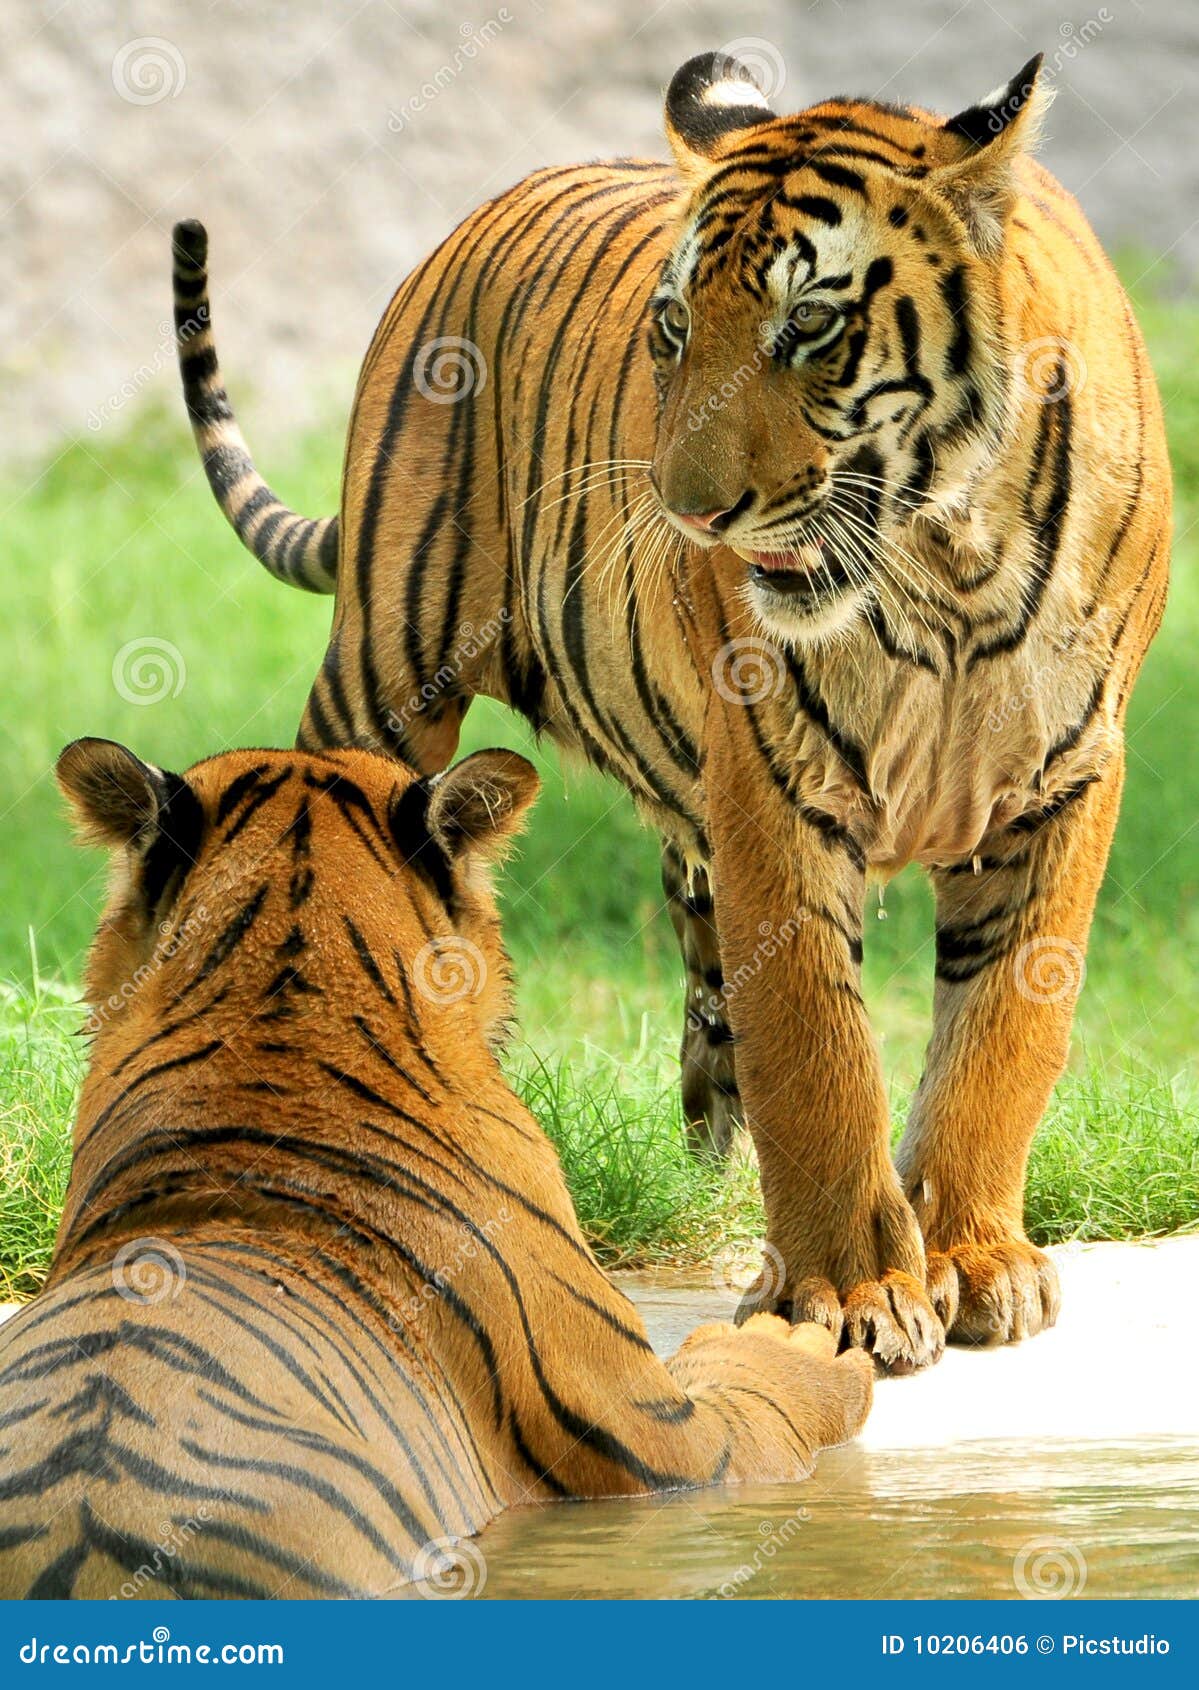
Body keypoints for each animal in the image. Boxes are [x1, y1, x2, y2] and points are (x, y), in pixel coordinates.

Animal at [171, 50, 1170, 1373]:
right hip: (384, 670)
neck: (942, 560)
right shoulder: (774, 780)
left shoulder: (1064, 776)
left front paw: (969, 1258)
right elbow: (815, 1046)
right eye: (674, 329)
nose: (689, 513)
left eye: (810, 325)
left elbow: (1004, 1026)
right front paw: (849, 1294)